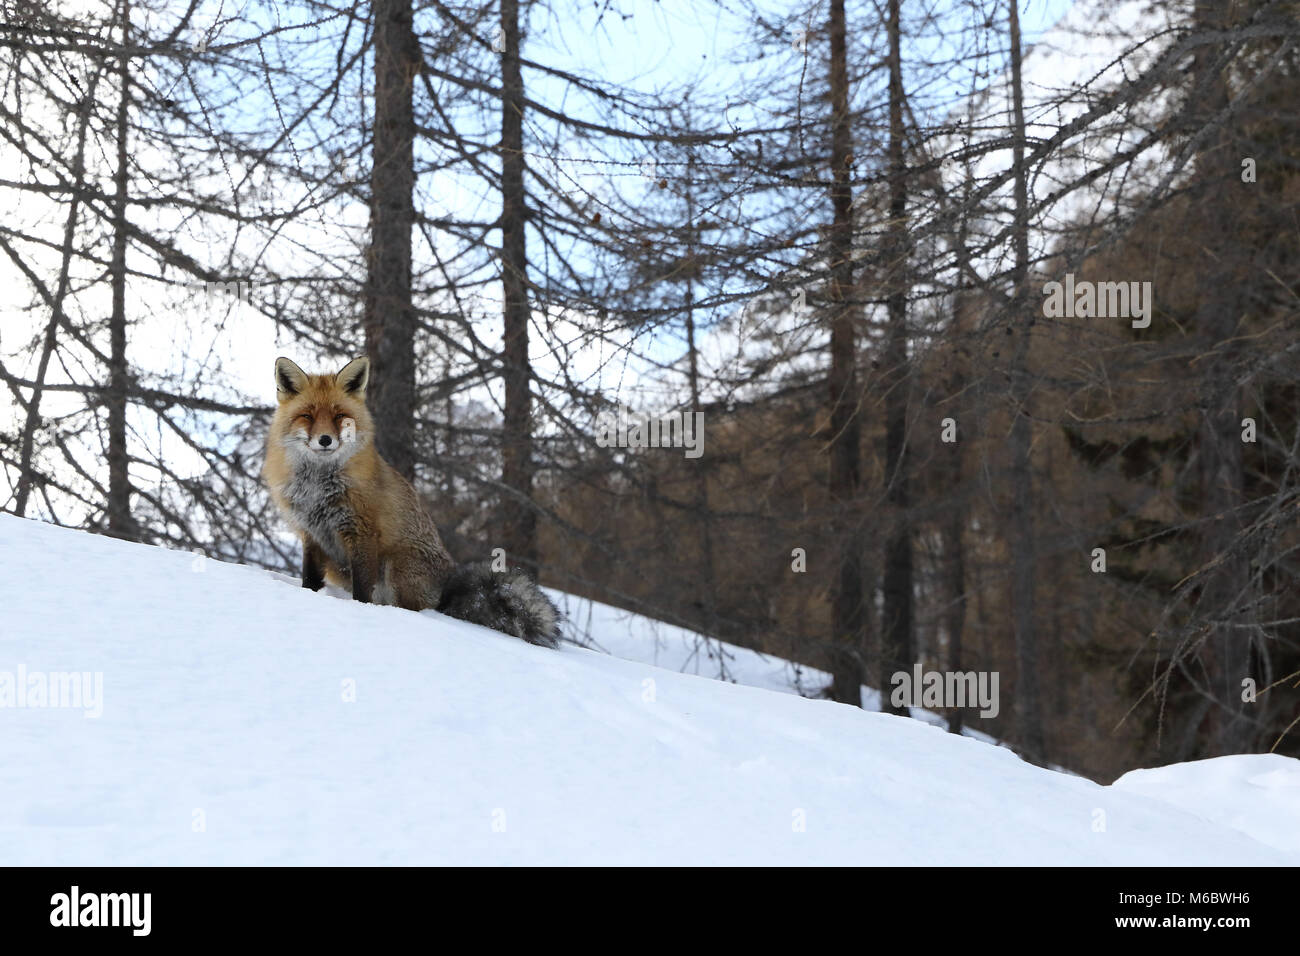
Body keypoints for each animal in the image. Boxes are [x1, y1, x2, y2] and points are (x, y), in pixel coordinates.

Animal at [262, 355, 560, 647]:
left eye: (339, 416)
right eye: (307, 415)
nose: (325, 440)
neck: (317, 485)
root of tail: (447, 587)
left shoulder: (362, 532)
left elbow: (363, 589)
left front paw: (361, 613)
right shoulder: (310, 532)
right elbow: (310, 579)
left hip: (397, 564)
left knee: (411, 608)